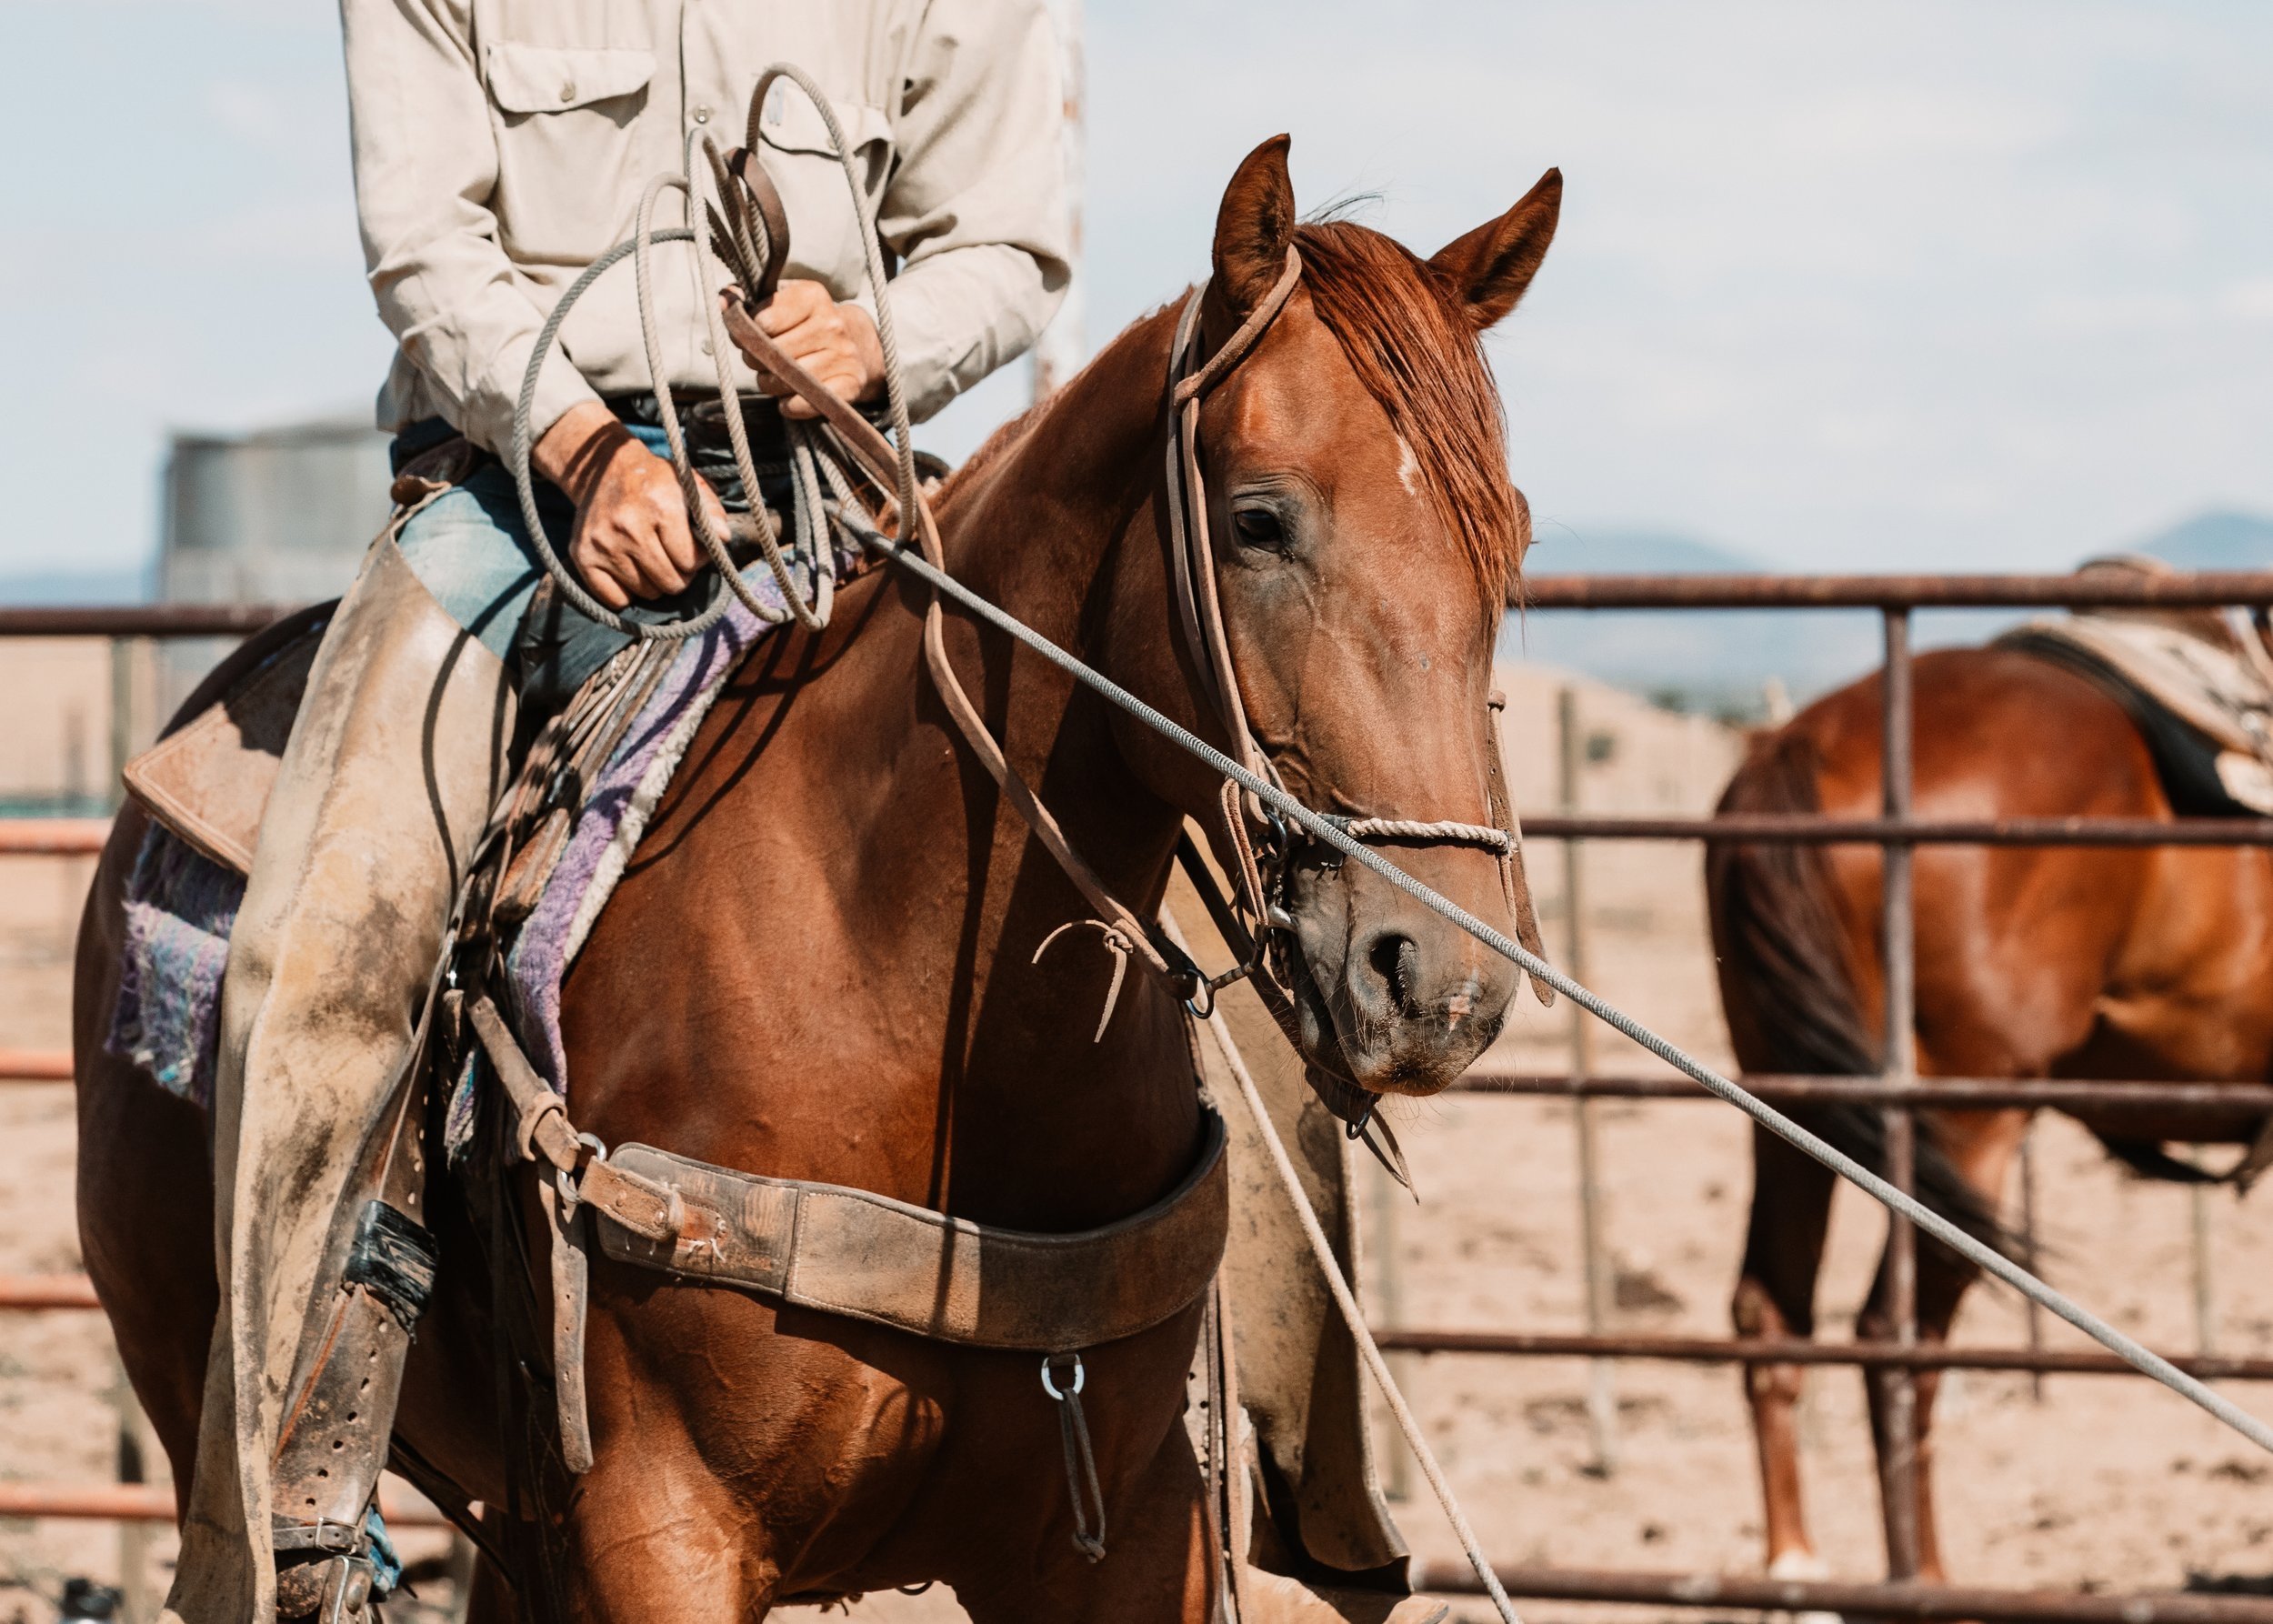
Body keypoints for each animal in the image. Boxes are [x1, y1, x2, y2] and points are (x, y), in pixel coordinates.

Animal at [1707, 641, 2273, 1585]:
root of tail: (1805, 744)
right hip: (1969, 1121)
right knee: (1897, 1336)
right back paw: (1923, 1578)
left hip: (1790, 1100)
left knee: (1770, 1308)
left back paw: (1797, 1570)